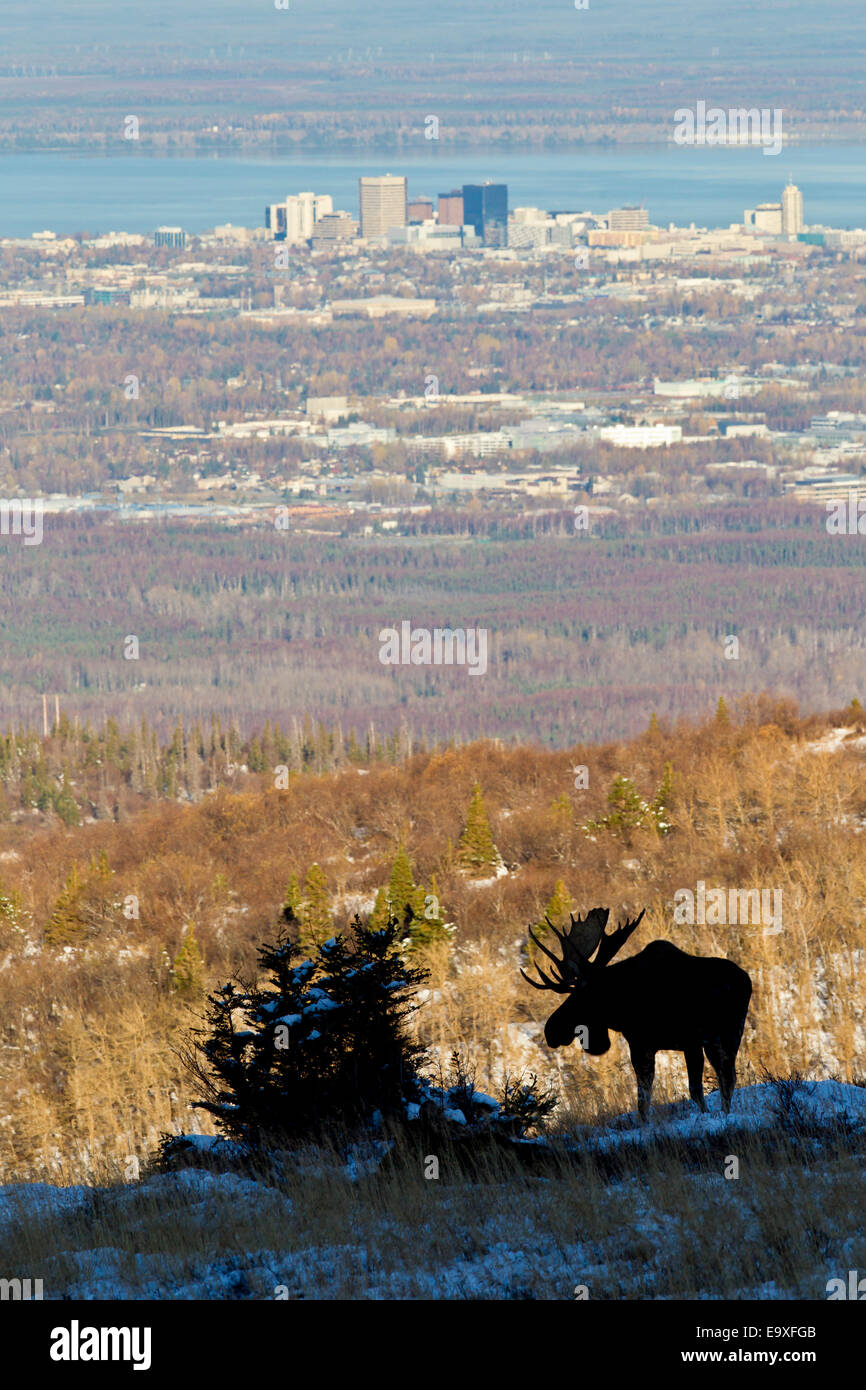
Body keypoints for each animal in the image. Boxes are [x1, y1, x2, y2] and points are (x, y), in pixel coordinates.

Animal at [521, 906, 752, 1120]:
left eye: (580, 996)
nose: (551, 1030)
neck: (622, 1007)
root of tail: (746, 980)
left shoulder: (664, 1043)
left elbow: (666, 1097)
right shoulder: (665, 1045)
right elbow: (667, 1095)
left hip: (723, 1035)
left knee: (727, 1077)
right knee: (728, 1076)